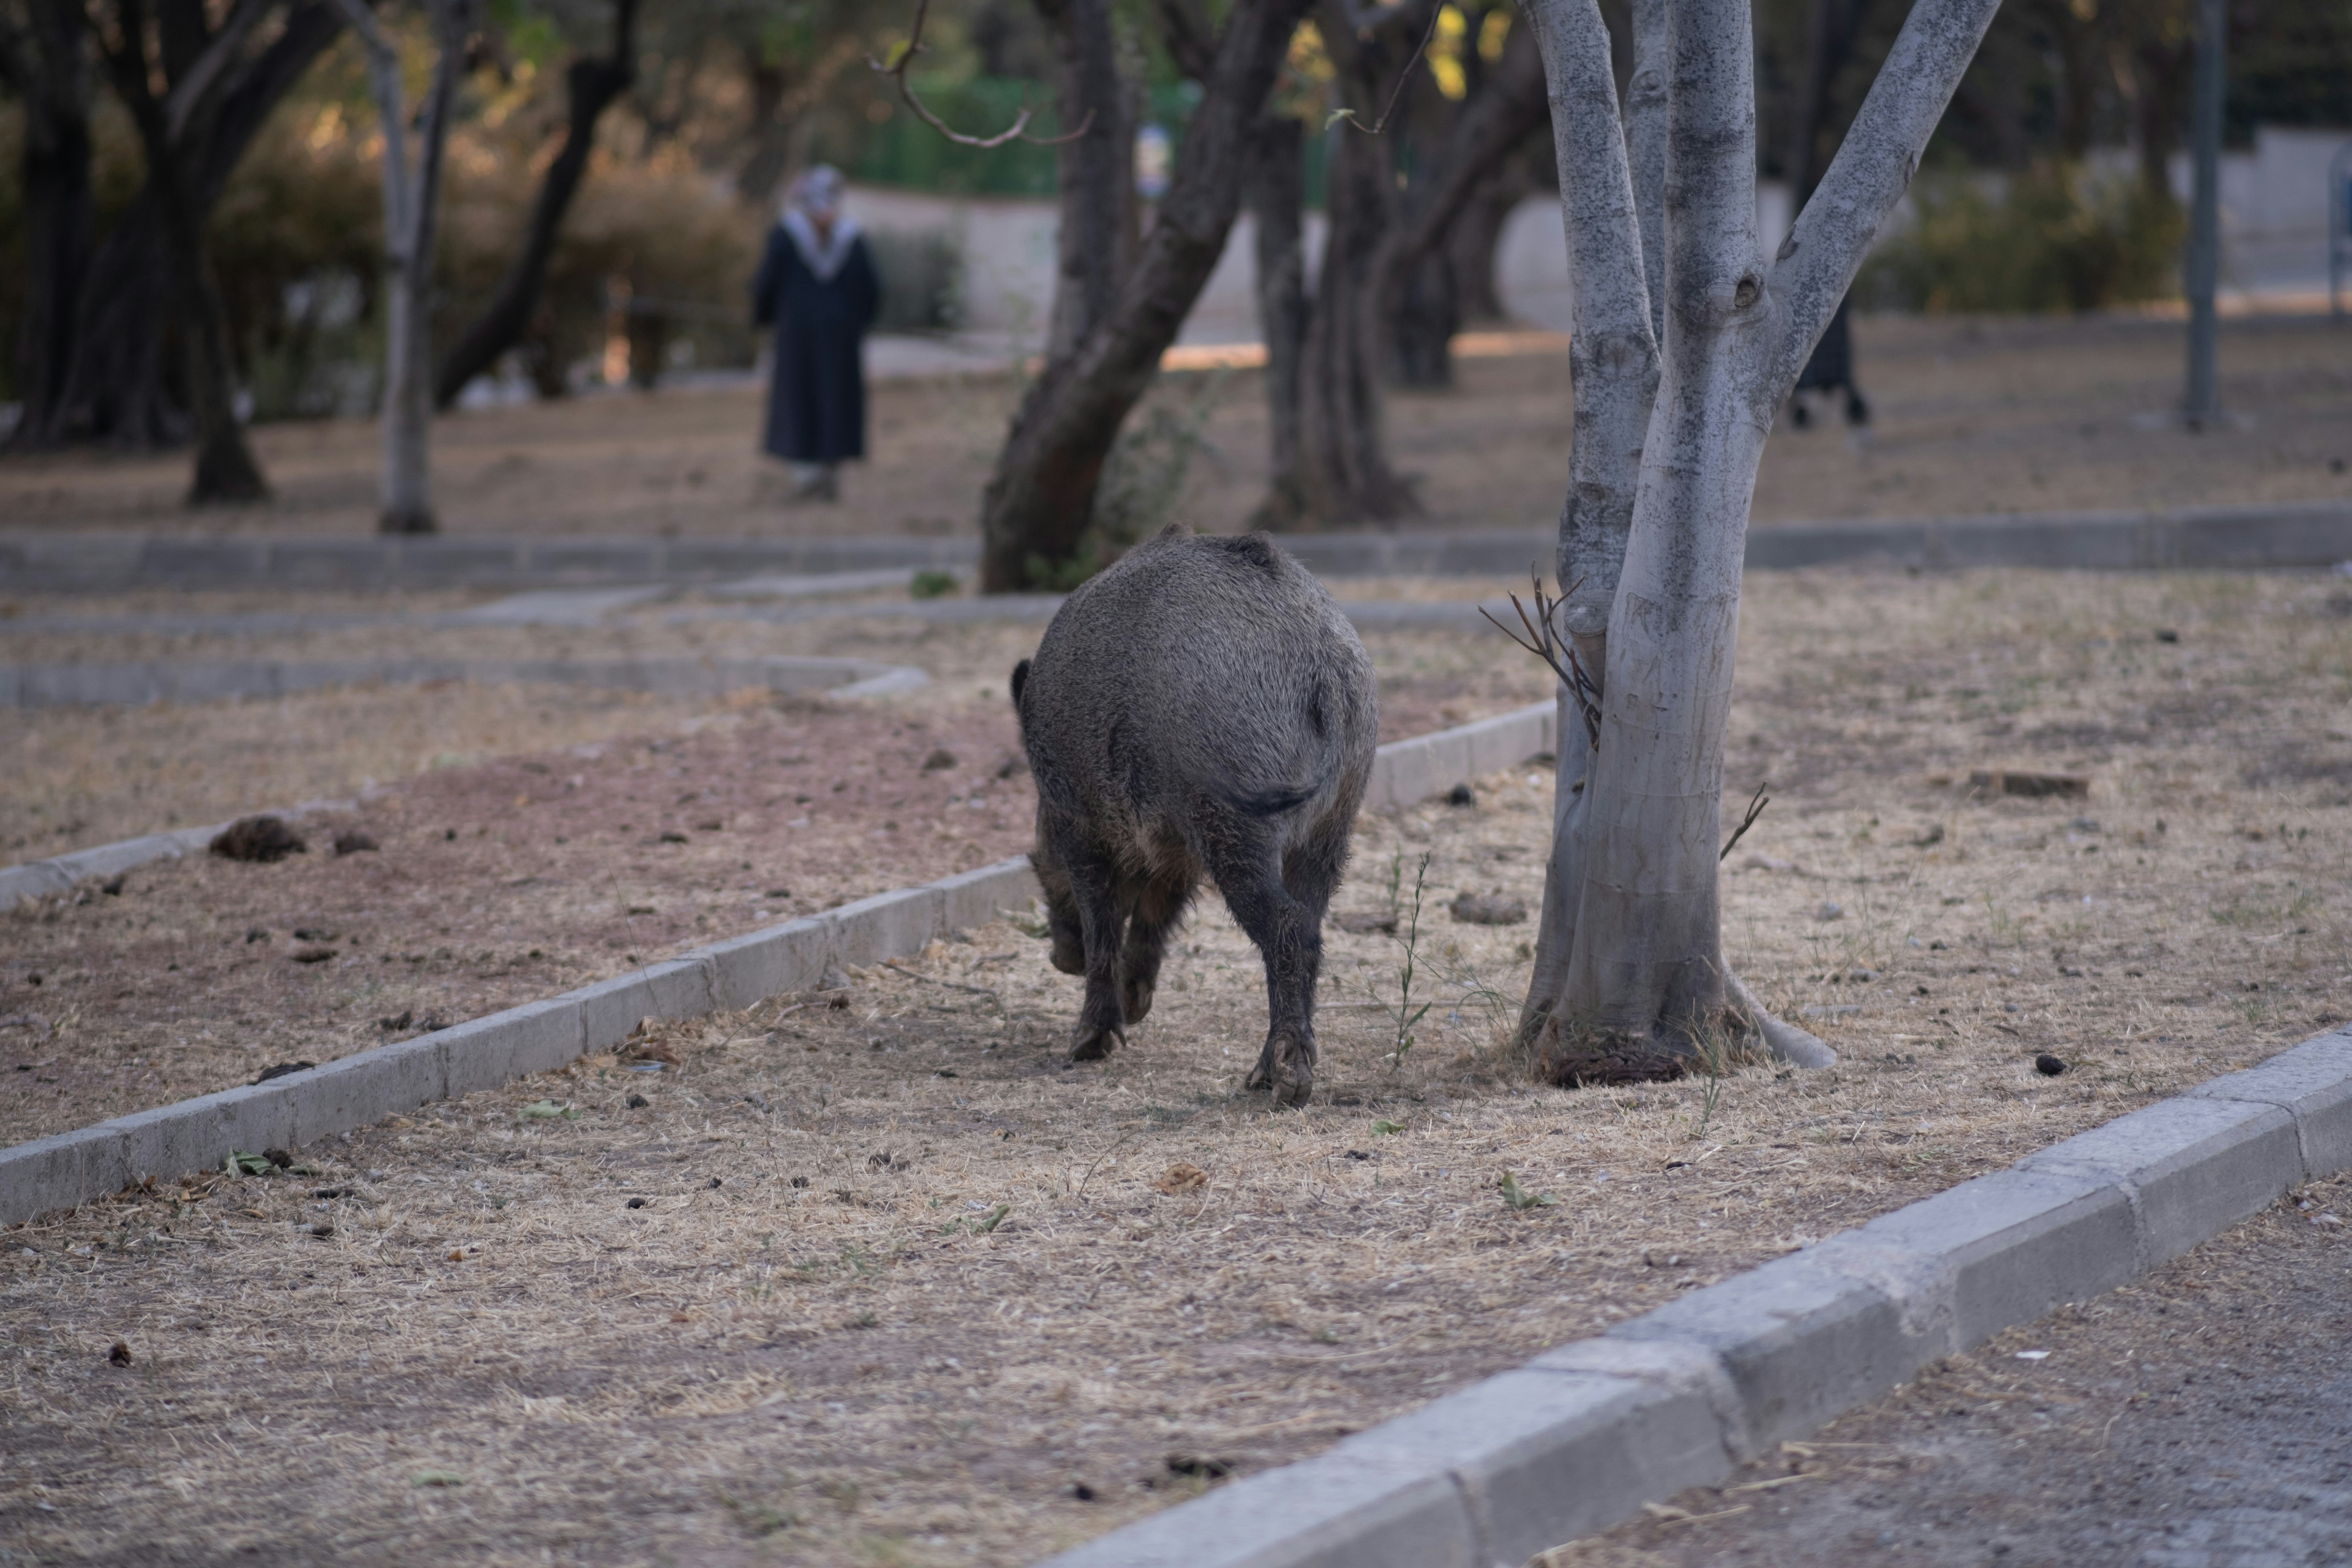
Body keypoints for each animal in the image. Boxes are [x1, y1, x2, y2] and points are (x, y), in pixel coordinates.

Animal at [1010, 527, 1377, 1107]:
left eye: (1038, 847)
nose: (1058, 959)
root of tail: (1324, 666)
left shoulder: (1083, 829)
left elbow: (1103, 922)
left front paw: (1086, 1045)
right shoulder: (1174, 847)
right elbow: (1155, 917)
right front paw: (1134, 1008)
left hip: (1236, 819)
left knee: (1288, 925)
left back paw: (1283, 1081)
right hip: (1333, 823)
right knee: (1313, 925)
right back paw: (1266, 1073)